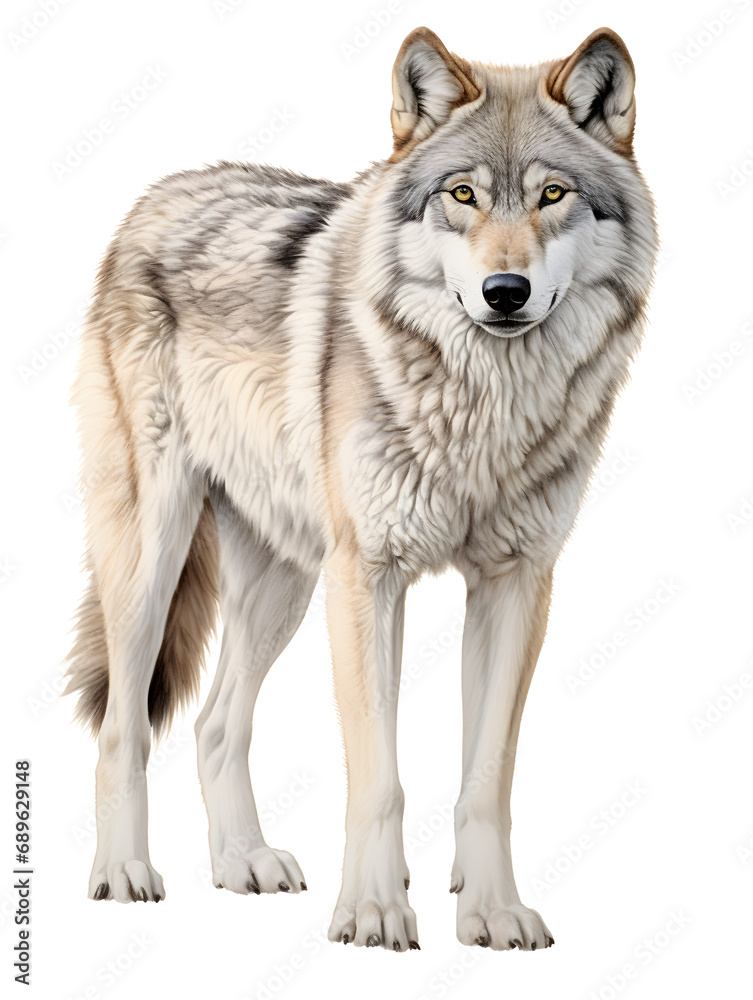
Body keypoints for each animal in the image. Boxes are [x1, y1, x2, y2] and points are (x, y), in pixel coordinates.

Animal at [66, 26, 657, 951]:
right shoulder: (369, 575)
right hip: (155, 558)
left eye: (553, 194)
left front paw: (491, 912)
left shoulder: (516, 582)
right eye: (461, 194)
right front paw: (375, 911)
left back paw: (244, 863)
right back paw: (123, 874)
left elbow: (486, 781)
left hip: (284, 582)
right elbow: (379, 775)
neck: (483, 407)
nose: (505, 292)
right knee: (124, 724)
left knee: (214, 723)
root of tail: (154, 198)